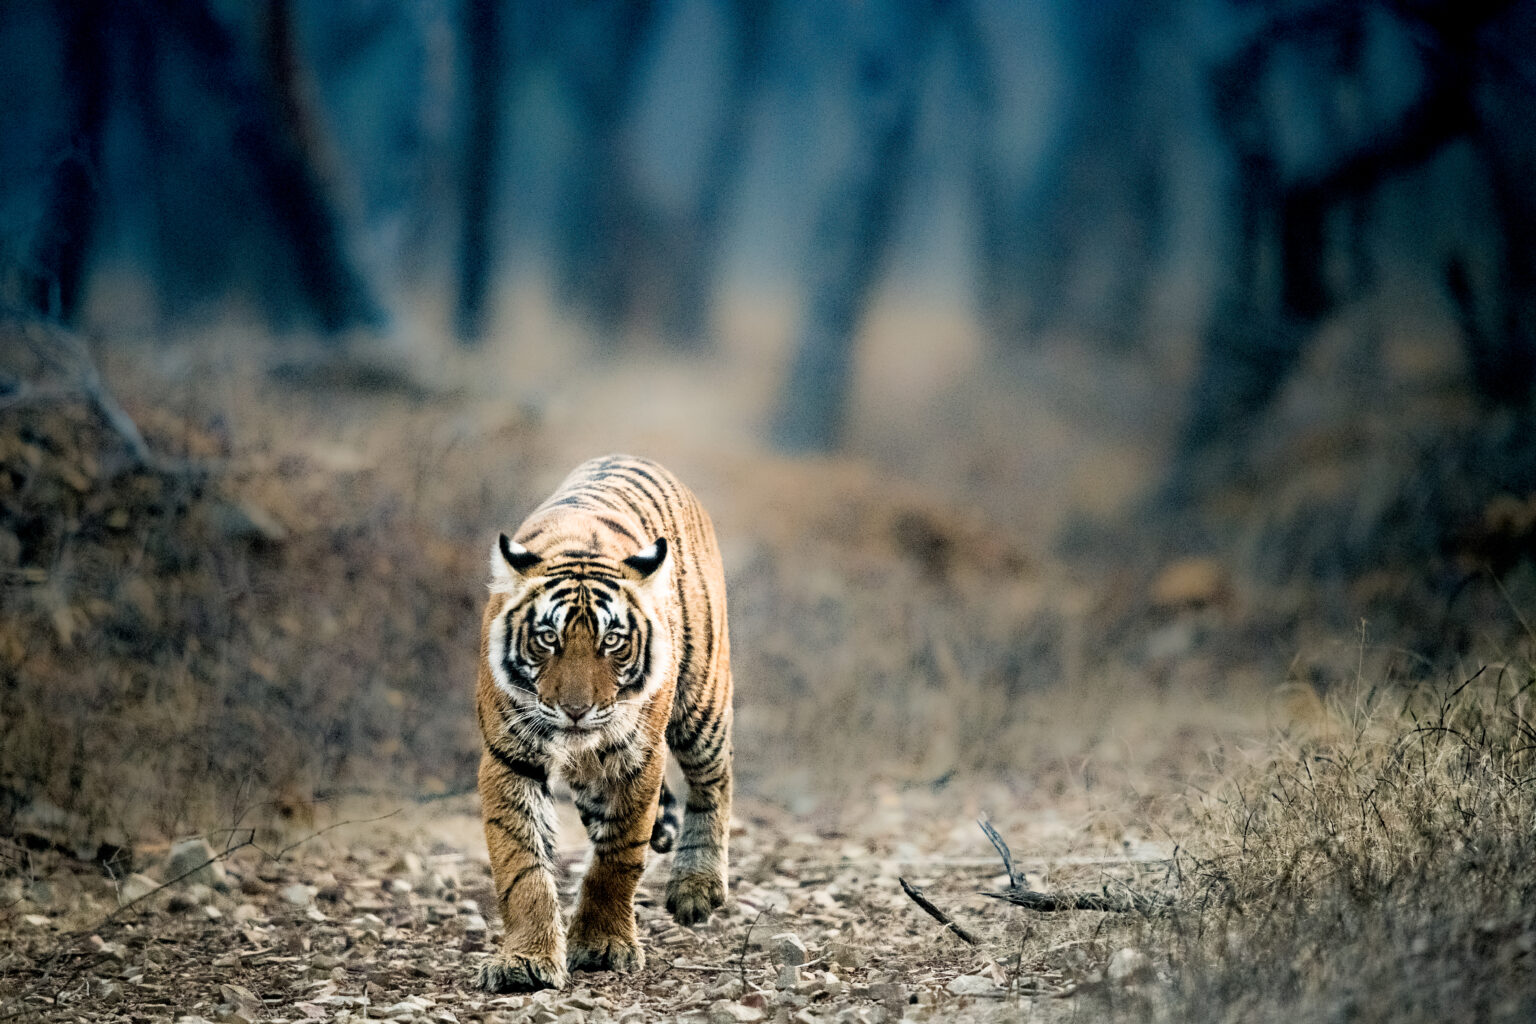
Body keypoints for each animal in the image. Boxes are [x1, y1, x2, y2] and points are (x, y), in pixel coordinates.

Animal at [473, 454, 734, 992]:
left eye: (612, 640)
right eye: (547, 638)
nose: (575, 709)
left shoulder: (637, 759)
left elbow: (618, 858)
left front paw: (602, 944)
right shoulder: (509, 758)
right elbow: (521, 866)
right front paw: (525, 961)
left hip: (702, 700)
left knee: (713, 781)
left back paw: (697, 887)